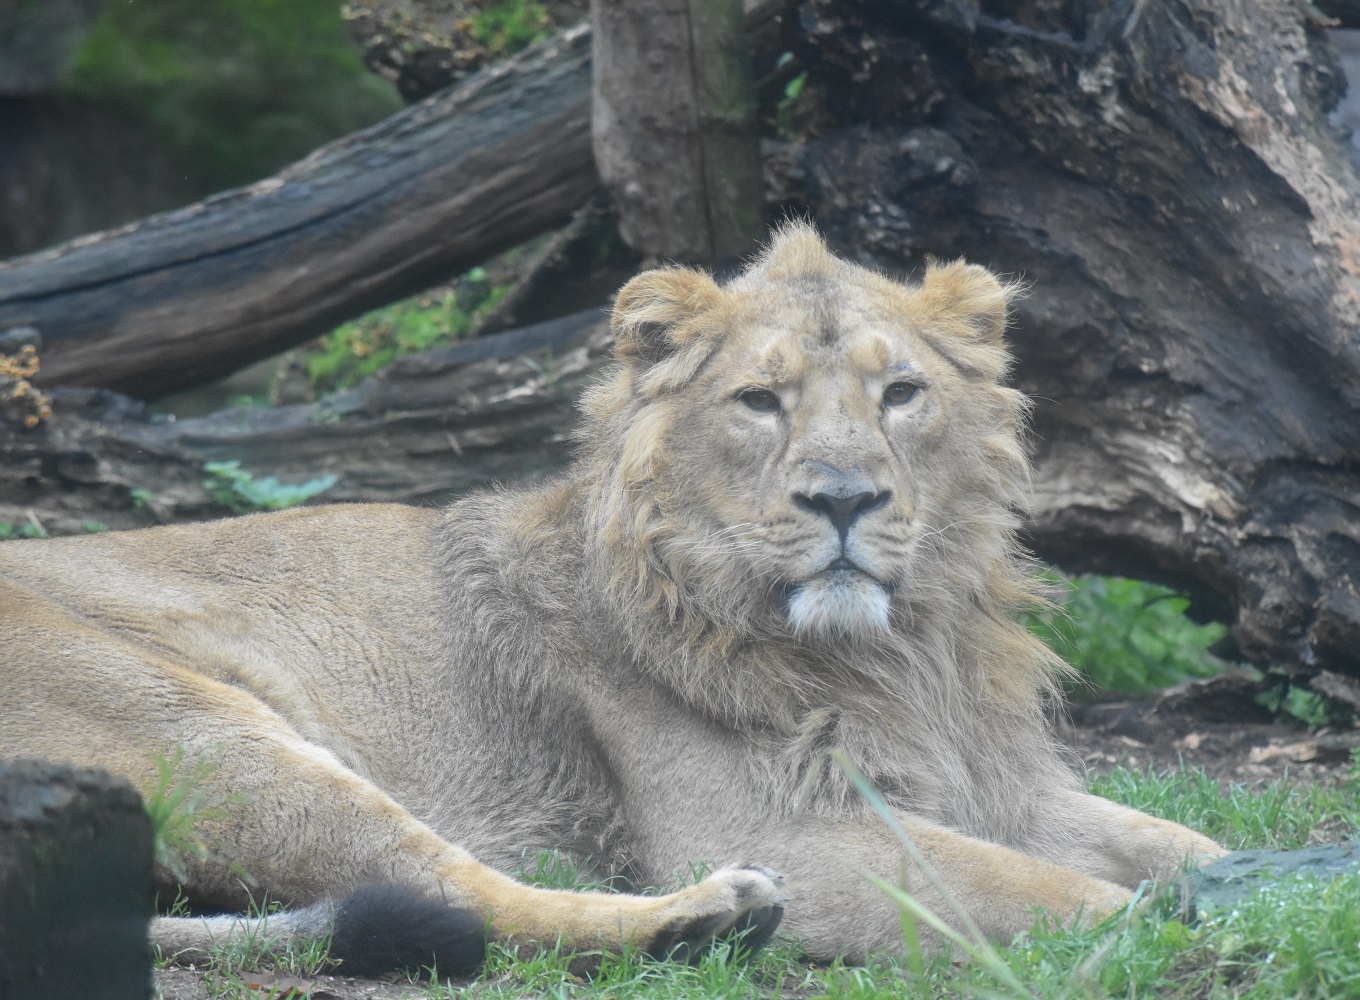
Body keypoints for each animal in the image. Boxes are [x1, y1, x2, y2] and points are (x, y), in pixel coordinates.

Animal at [0, 224, 1223, 975]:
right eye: (761, 401)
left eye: (902, 394)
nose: (843, 497)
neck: (895, 656)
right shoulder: (780, 822)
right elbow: (1052, 891)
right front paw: (1188, 925)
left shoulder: (1001, 787)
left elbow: (1180, 843)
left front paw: (1242, 878)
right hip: (199, 729)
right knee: (463, 890)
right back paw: (707, 921)